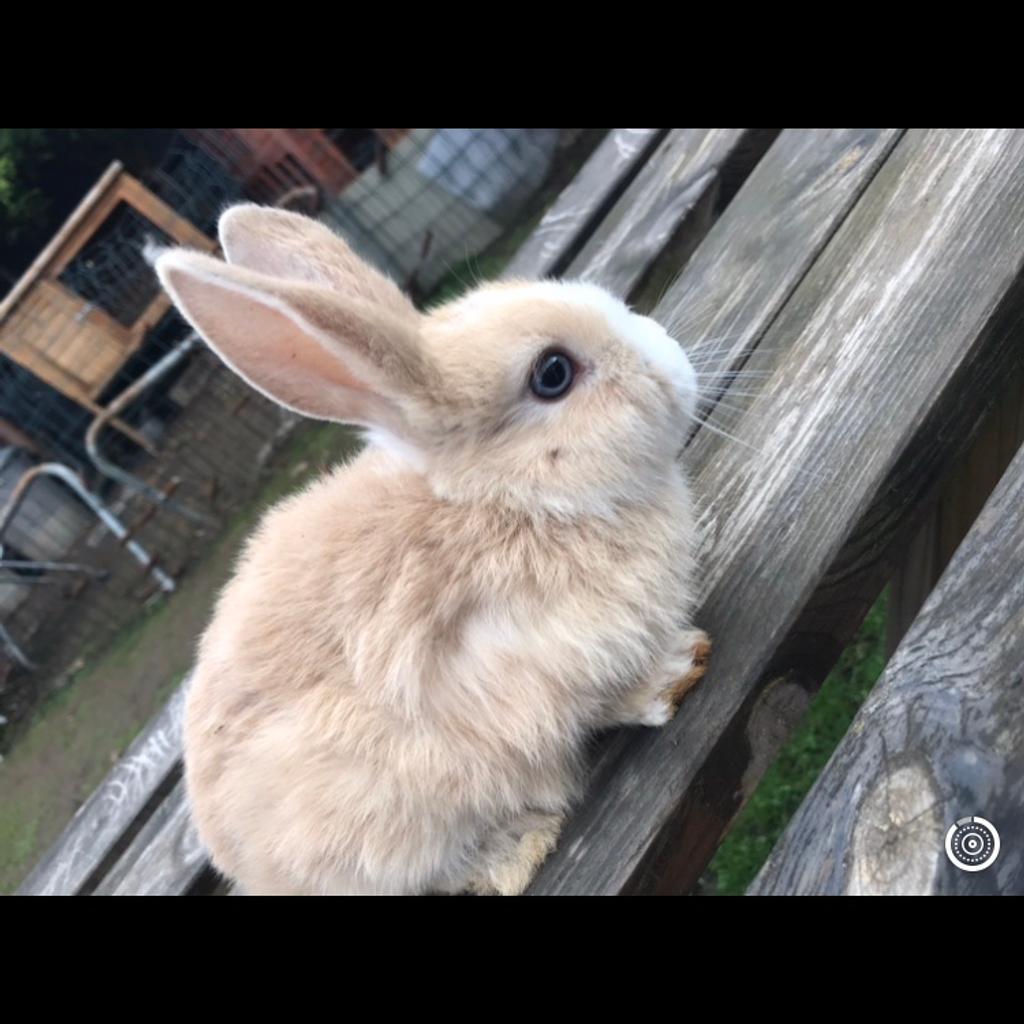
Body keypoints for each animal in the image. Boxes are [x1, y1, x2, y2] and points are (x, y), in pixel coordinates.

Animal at [154, 204, 711, 896]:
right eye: (552, 374)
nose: (674, 361)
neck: (509, 500)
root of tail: (245, 868)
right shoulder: (535, 682)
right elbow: (601, 704)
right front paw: (672, 677)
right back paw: (515, 850)